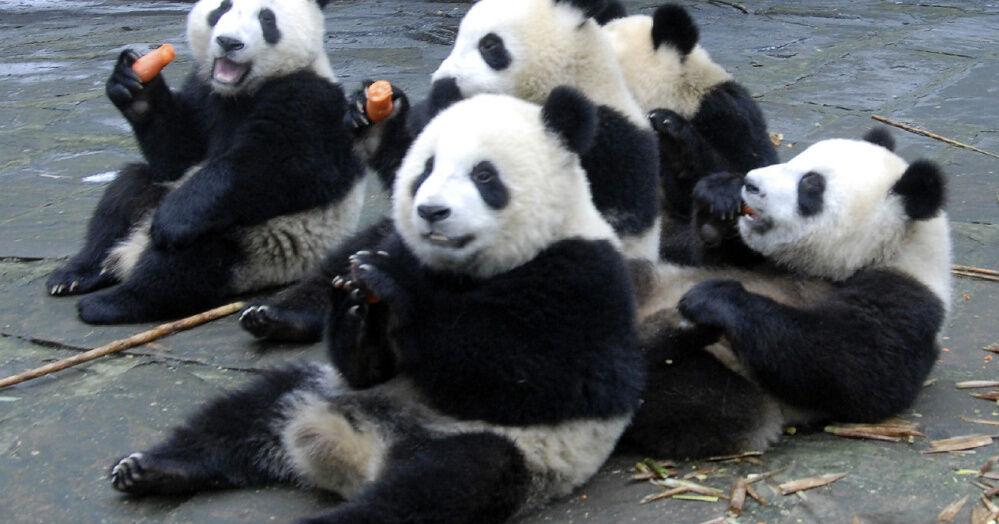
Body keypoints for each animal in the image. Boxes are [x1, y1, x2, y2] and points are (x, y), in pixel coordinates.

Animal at [45, 0, 367, 324]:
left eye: (266, 19)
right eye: (222, 8)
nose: (228, 42)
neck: (239, 92)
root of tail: (130, 255)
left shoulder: (310, 100)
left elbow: (288, 168)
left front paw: (173, 218)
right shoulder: (203, 91)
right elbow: (177, 154)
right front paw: (135, 87)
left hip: (259, 245)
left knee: (190, 256)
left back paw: (115, 300)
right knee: (125, 192)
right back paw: (75, 275)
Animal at [109, 89, 645, 524]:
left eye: (484, 175)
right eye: (424, 170)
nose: (431, 212)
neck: (469, 268)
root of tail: (361, 453)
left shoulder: (583, 277)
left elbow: (545, 375)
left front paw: (390, 288)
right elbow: (366, 364)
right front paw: (355, 307)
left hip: (510, 452)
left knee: (432, 491)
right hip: (323, 389)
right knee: (248, 412)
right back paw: (154, 468)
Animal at [239, 0, 662, 342]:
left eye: (490, 45)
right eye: (458, 37)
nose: (443, 82)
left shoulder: (604, 142)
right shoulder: (444, 122)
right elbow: (411, 170)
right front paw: (374, 112)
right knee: (343, 255)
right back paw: (280, 315)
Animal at [619, 129, 952, 458]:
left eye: (810, 185)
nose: (751, 184)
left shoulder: (905, 300)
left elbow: (853, 369)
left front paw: (716, 299)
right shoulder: (755, 261)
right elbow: (713, 256)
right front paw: (719, 199)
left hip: (727, 392)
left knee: (703, 401)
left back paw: (670, 334)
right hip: (649, 279)